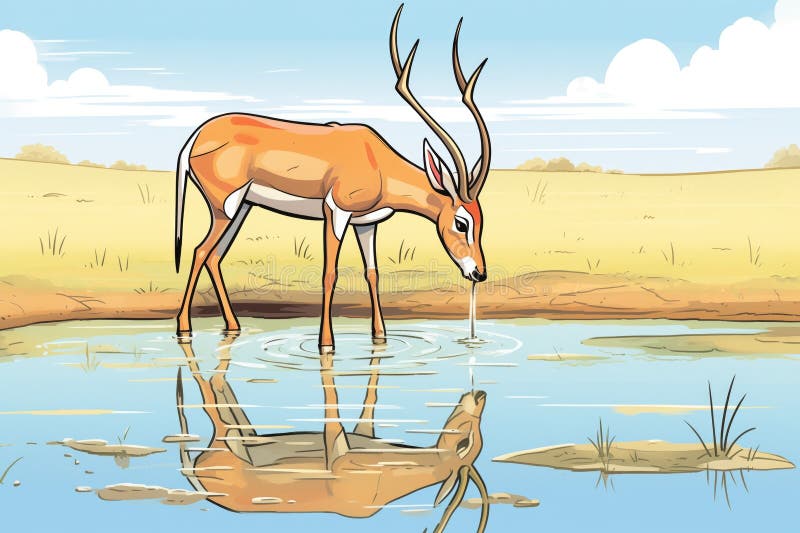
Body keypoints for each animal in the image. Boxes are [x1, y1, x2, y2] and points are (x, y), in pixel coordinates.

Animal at [174, 5, 491, 352]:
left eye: (481, 220)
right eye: (461, 222)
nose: (479, 273)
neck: (376, 162)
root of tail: (195, 137)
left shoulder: (367, 223)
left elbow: (372, 273)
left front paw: (380, 337)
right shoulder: (335, 212)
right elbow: (330, 273)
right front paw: (326, 344)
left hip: (242, 208)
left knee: (215, 256)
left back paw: (233, 327)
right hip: (225, 208)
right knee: (199, 251)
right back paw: (183, 327)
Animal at [175, 334, 489, 531]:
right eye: (466, 442)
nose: (481, 394)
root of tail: (198, 478)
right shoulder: (340, 448)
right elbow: (333, 399)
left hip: (237, 436)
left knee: (216, 396)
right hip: (232, 438)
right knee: (212, 394)